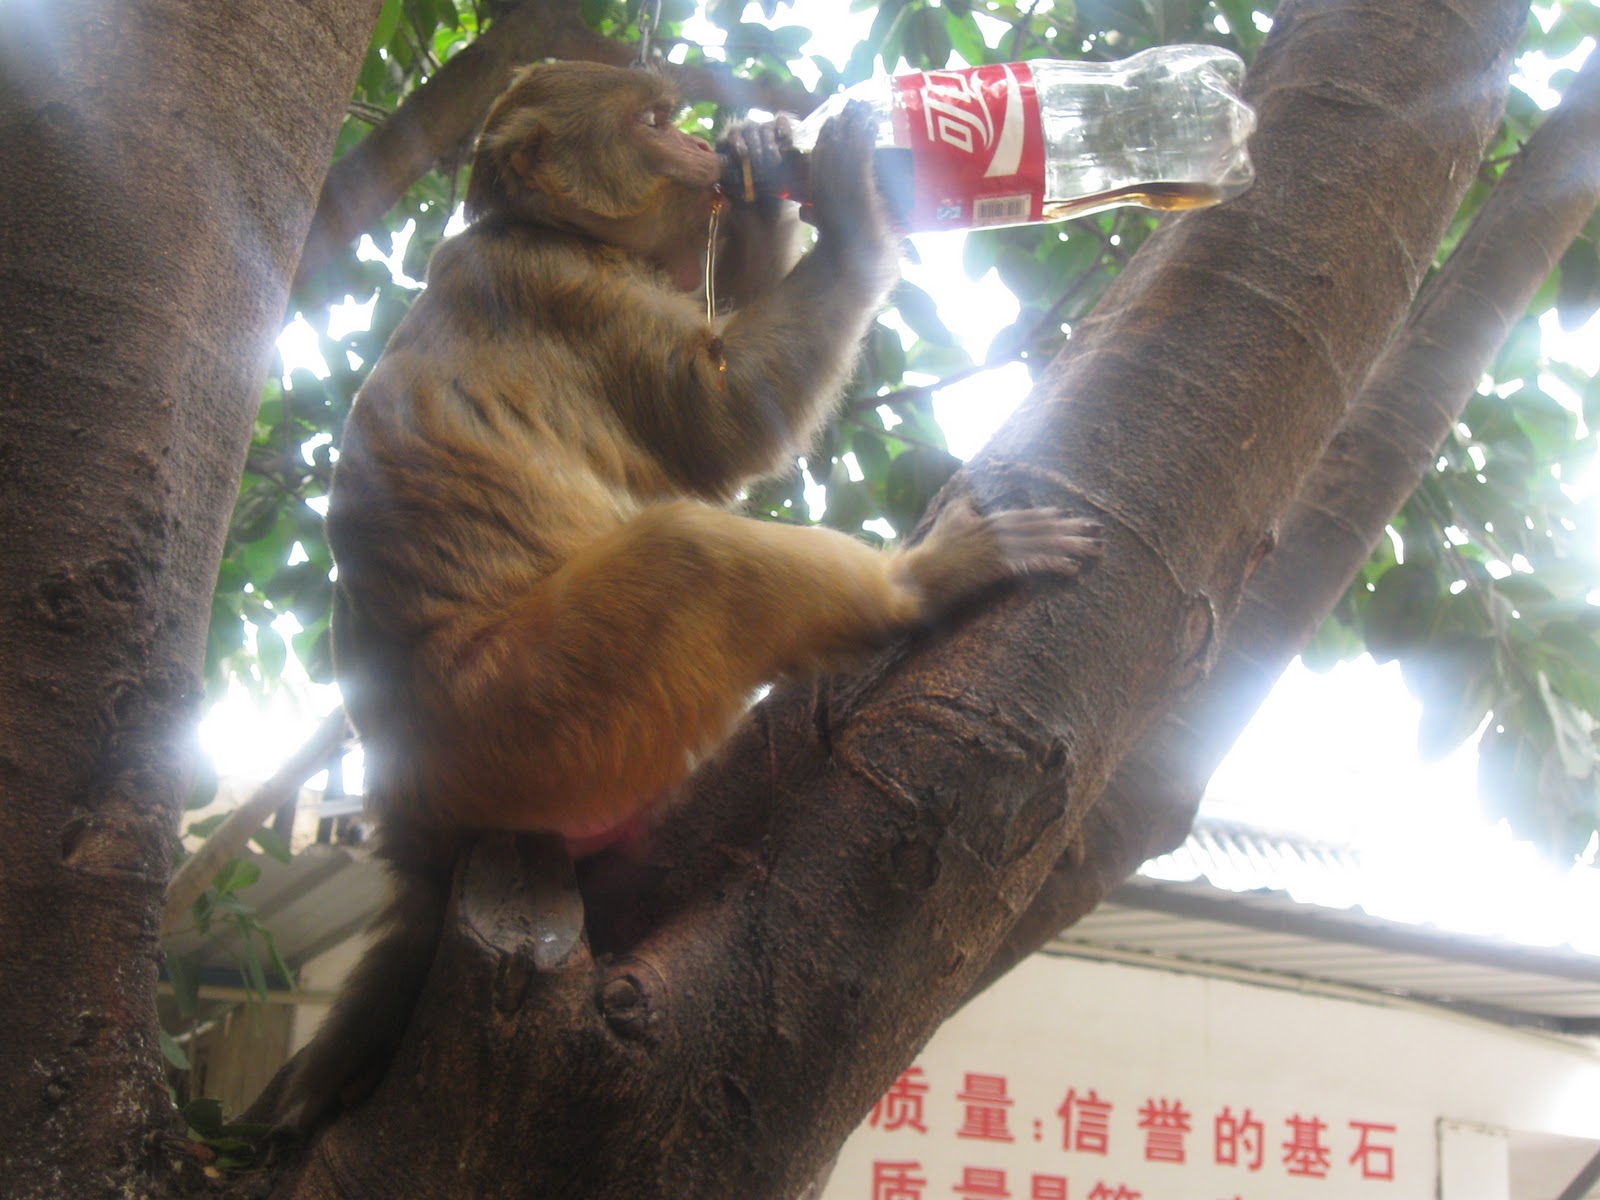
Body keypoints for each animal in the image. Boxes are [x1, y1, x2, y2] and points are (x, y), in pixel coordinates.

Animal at [272, 60, 1103, 1131]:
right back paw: (917, 587)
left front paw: (763, 173)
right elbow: (725, 421)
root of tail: (412, 814)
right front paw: (849, 197)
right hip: (530, 714)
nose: (708, 143)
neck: (550, 229)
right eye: (657, 123)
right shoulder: (571, 291)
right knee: (690, 552)